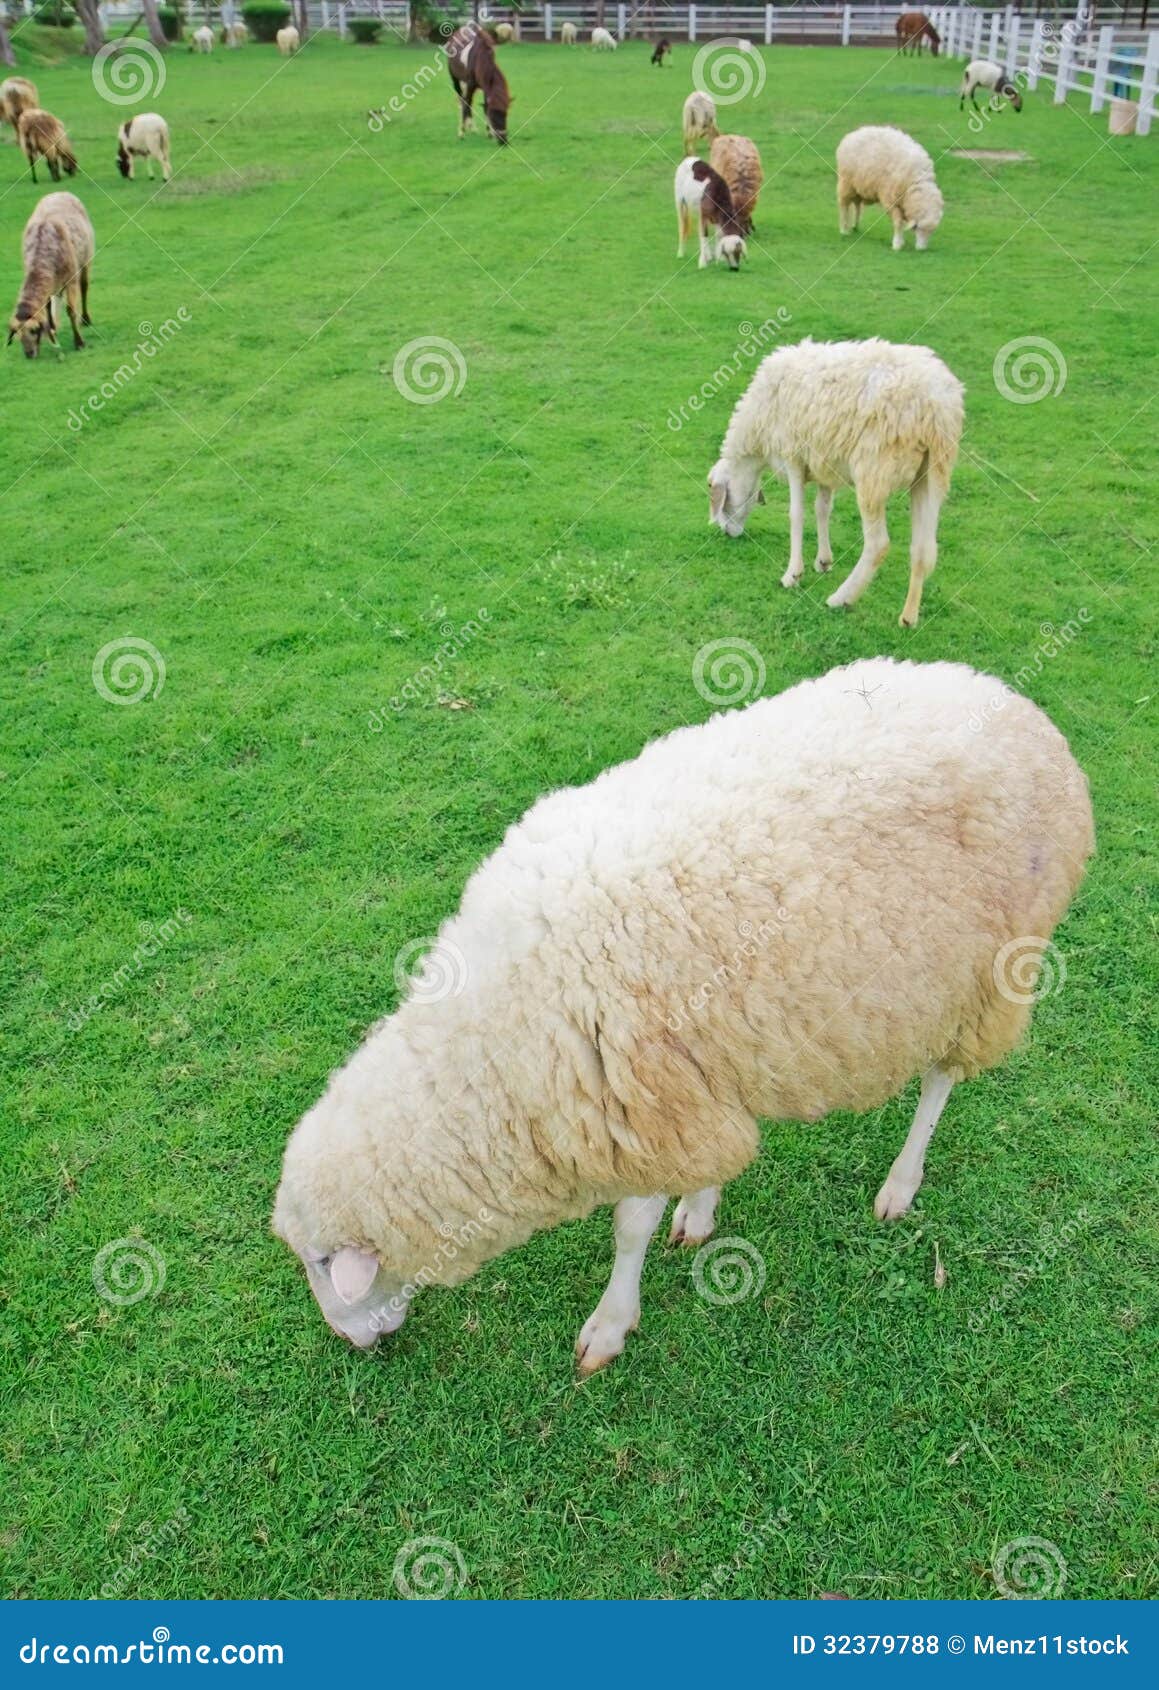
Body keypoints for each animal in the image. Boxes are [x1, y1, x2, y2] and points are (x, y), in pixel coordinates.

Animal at [7, 190, 94, 360]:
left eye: (34, 330)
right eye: (16, 333)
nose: (29, 354)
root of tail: (61, 192)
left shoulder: (71, 278)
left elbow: (71, 310)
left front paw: (79, 343)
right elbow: (46, 307)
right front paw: (51, 330)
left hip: (86, 257)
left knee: (84, 287)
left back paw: (86, 319)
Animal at [273, 656, 1094, 1375]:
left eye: (320, 1263)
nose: (350, 1341)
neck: (499, 1048)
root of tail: (1021, 709)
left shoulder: (640, 1102)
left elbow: (628, 1228)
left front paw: (608, 1326)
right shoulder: (692, 1079)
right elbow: (709, 1165)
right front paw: (699, 1214)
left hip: (985, 976)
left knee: (937, 1084)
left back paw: (899, 1184)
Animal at [707, 337, 963, 628]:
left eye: (718, 497)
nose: (728, 533)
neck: (756, 433)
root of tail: (937, 405)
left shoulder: (793, 455)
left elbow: (796, 515)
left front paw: (793, 575)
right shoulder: (823, 465)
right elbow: (822, 510)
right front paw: (824, 561)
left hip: (873, 470)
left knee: (878, 544)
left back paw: (842, 598)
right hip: (931, 474)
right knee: (924, 550)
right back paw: (908, 617)